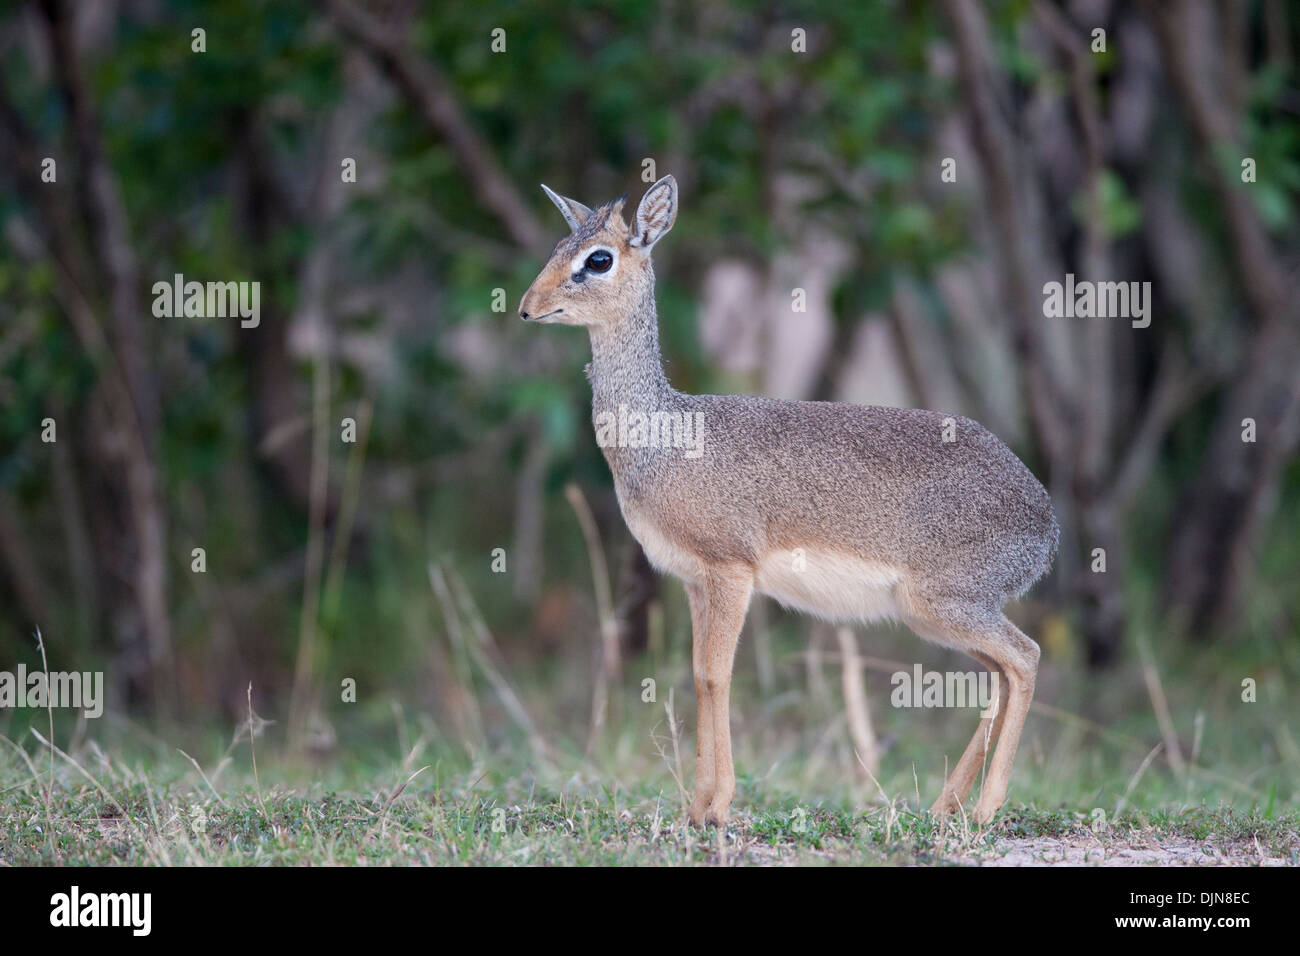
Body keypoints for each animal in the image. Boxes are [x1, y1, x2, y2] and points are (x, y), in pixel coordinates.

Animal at [519, 175, 1059, 826]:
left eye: (598, 259)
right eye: (559, 244)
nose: (526, 307)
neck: (665, 437)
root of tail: (1046, 519)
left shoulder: (731, 570)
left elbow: (716, 676)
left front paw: (719, 806)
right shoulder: (694, 581)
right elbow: (697, 676)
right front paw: (696, 807)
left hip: (947, 604)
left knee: (1025, 659)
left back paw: (984, 811)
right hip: (940, 616)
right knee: (1001, 676)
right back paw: (944, 806)